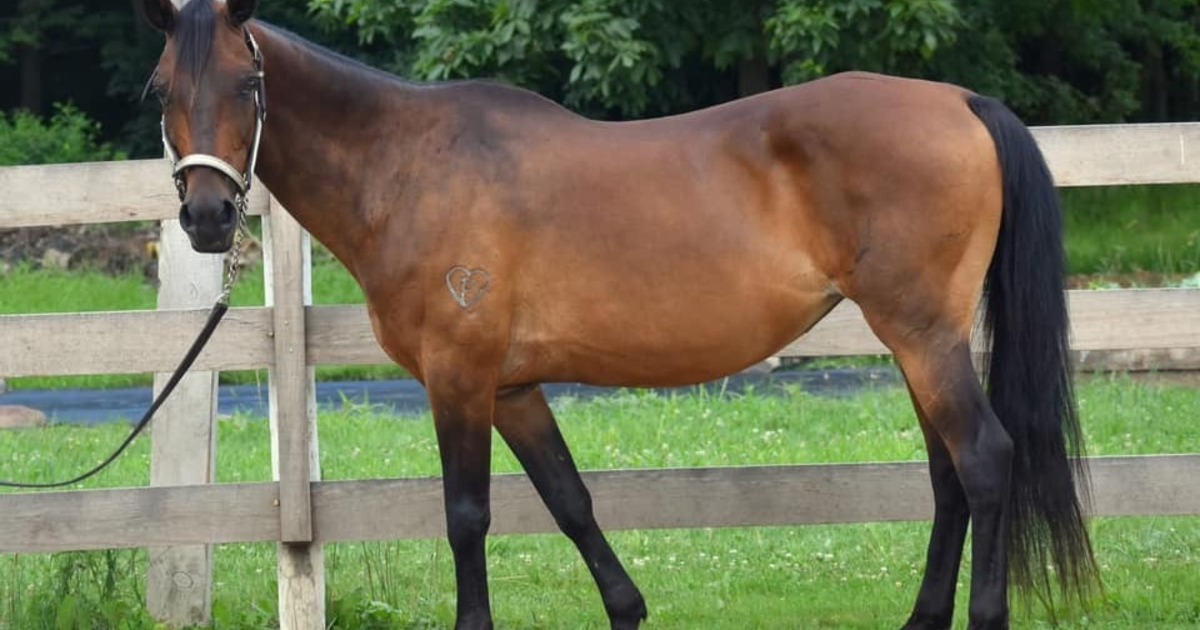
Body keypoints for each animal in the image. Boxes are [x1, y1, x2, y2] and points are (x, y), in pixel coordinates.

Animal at [141, 1, 1097, 627]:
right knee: (948, 477)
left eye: (247, 81)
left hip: (923, 337)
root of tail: (960, 101)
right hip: (919, 345)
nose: (207, 218)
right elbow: (570, 500)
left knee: (984, 461)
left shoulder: (460, 379)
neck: (408, 164)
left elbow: (467, 516)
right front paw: (628, 608)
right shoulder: (513, 388)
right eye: (160, 89)